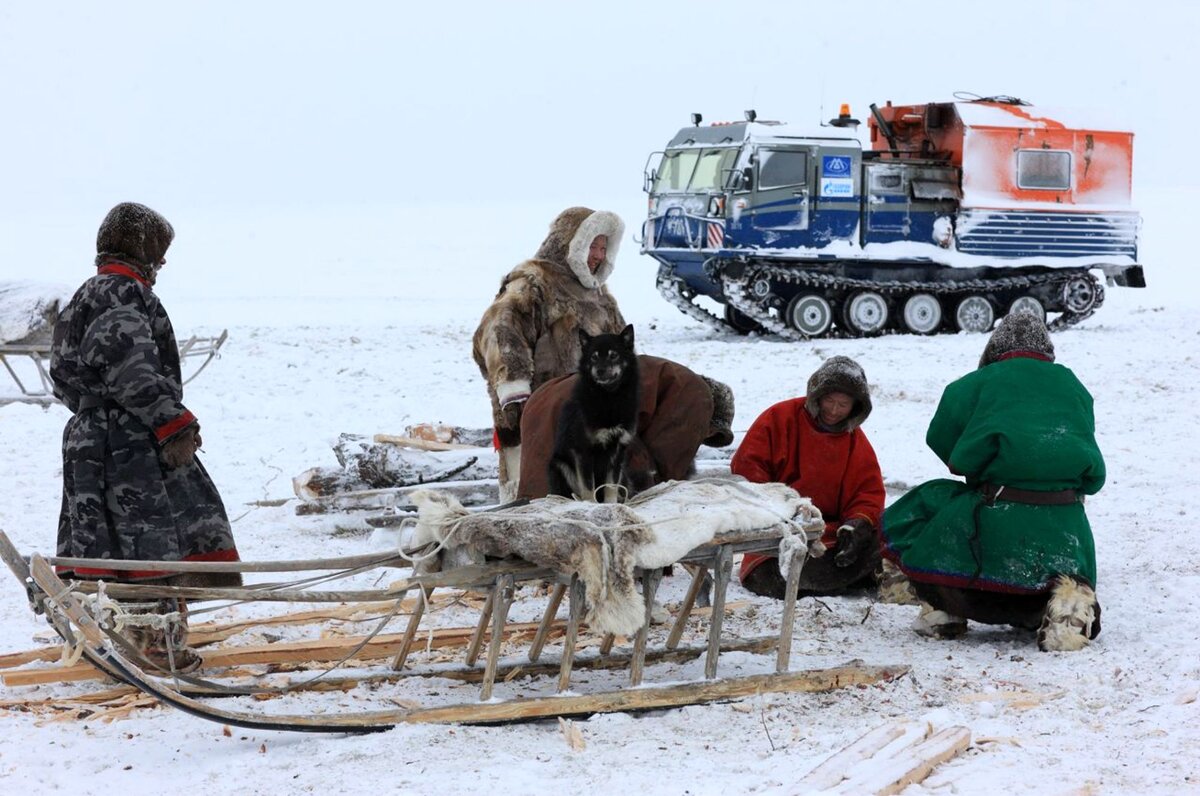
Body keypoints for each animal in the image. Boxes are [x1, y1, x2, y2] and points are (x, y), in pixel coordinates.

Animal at [547, 326, 638, 504]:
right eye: (593, 357)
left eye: (613, 355)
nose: (600, 371)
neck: (609, 398)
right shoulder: (583, 452)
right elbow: (588, 486)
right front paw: (590, 505)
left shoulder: (617, 452)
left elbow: (611, 485)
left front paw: (610, 504)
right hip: (560, 465)